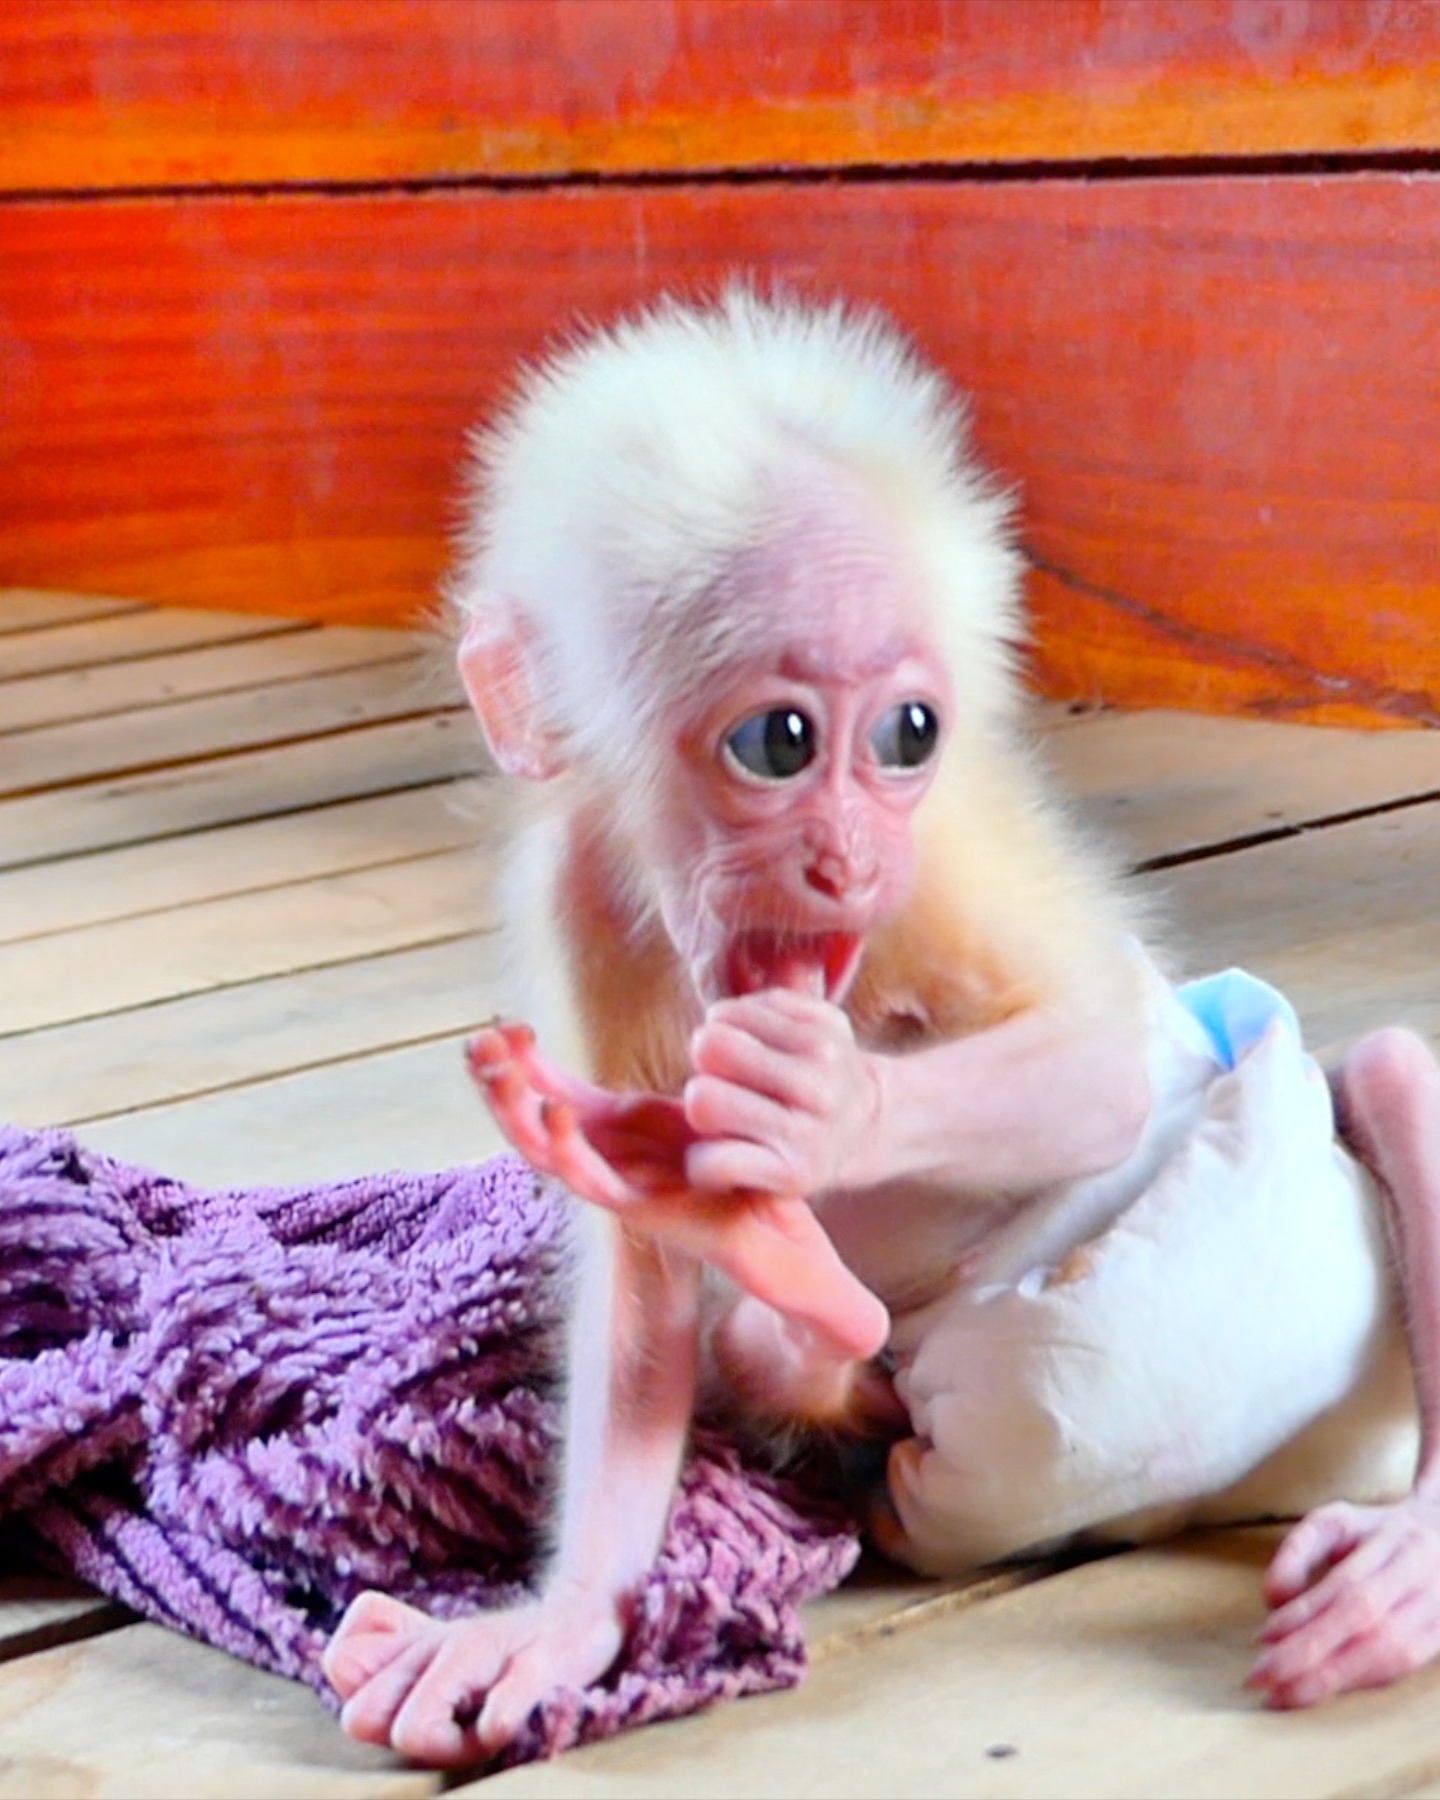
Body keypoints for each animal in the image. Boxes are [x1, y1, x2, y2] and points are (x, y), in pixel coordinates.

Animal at [321, 290, 1440, 1766]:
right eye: (781, 744)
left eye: (907, 733)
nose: (848, 860)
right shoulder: (576, 880)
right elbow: (642, 1282)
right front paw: (566, 1617)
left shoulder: (943, 854)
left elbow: (1097, 1062)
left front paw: (824, 1114)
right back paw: (800, 1304)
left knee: (1384, 1079)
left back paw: (1407, 1562)